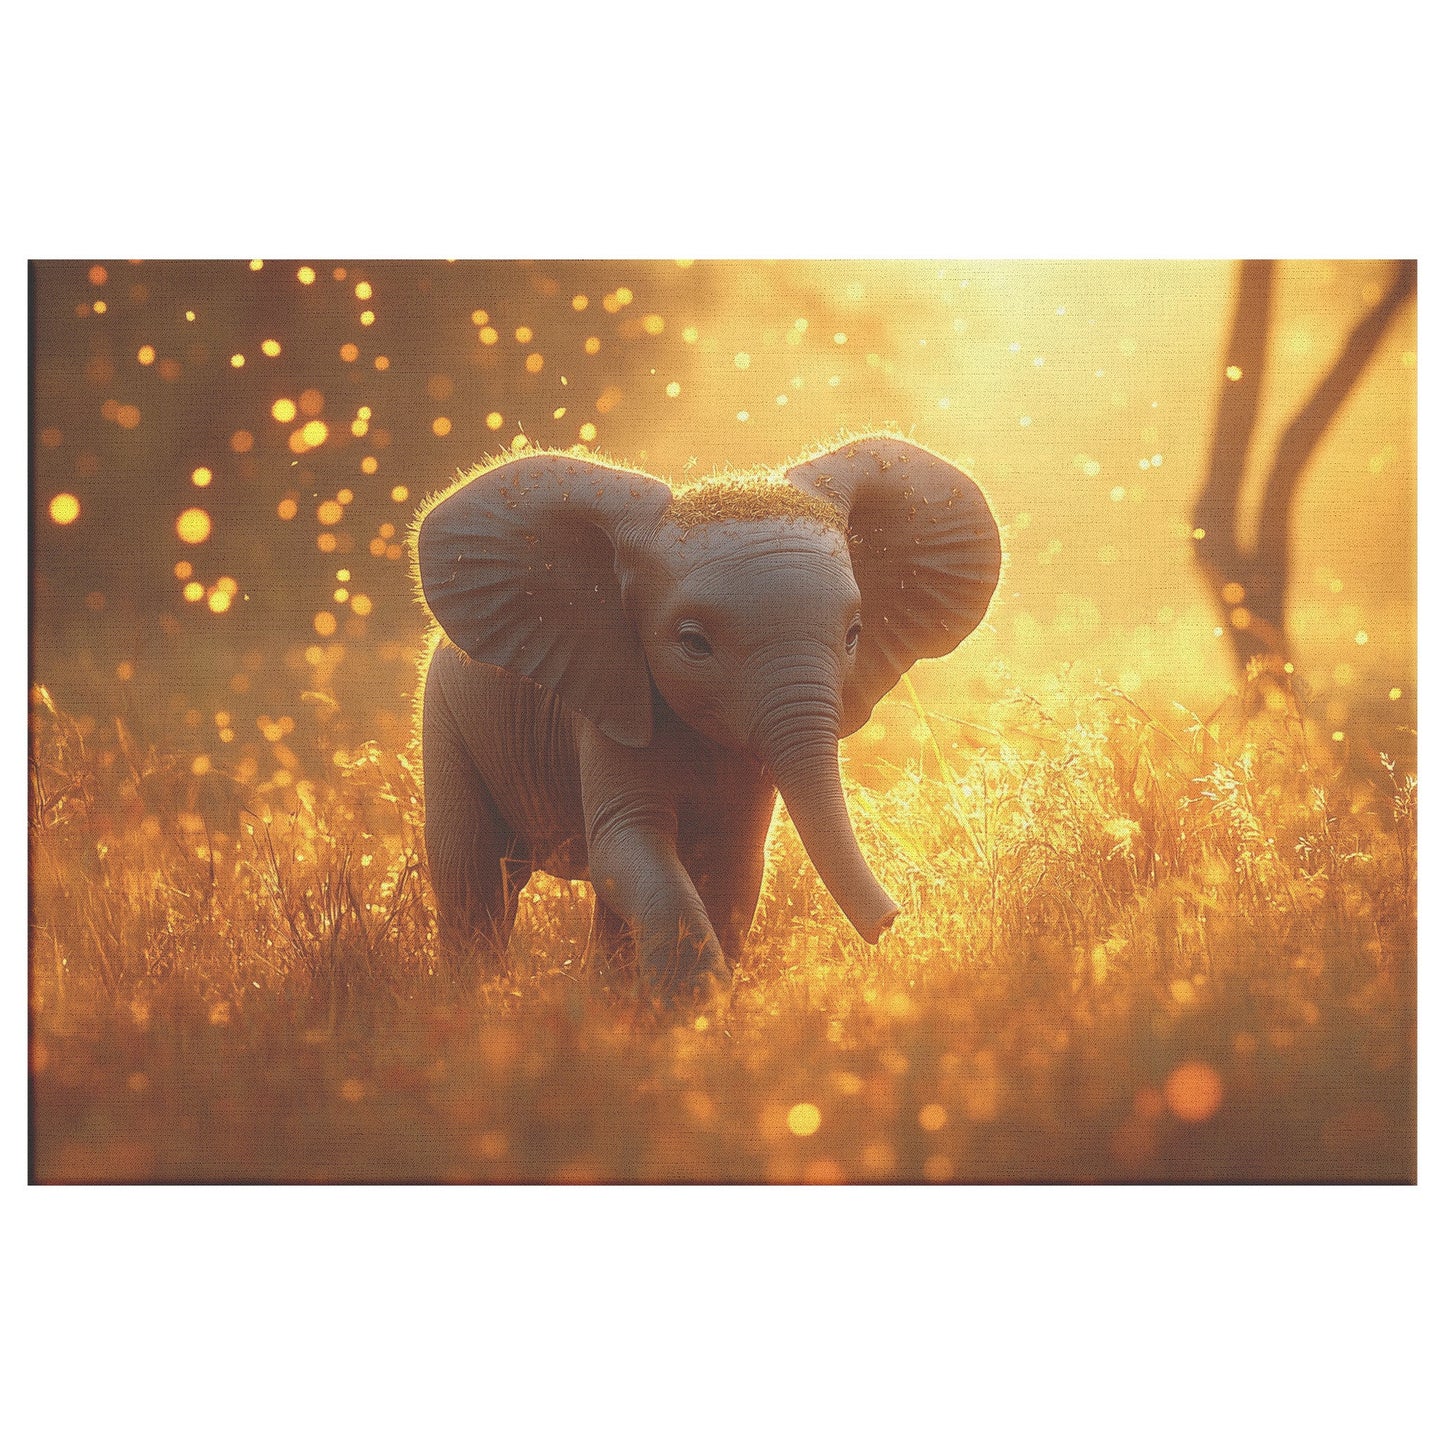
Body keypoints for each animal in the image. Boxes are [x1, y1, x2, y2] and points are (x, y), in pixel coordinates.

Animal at [413, 433, 1001, 1008]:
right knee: (474, 877)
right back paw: (475, 1002)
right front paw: (697, 1013)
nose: (893, 919)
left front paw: (688, 1017)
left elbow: (732, 862)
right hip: (444, 720)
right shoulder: (608, 704)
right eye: (694, 643)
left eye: (854, 634)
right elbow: (626, 844)